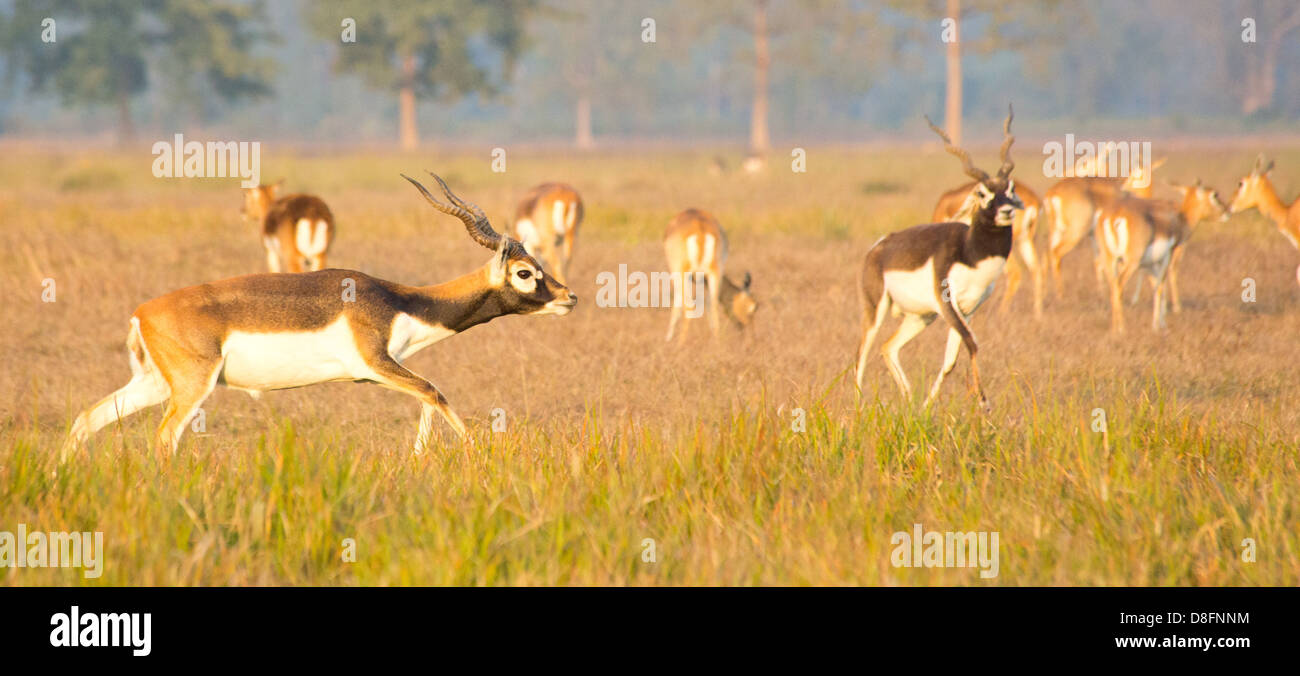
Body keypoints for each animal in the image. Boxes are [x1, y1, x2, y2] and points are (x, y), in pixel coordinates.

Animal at [63, 174, 577, 461]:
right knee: (165, 438)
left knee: (86, 419)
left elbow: (428, 399)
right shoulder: (375, 364)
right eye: (525, 272)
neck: (399, 301)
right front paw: (471, 454)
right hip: (192, 386)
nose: (568, 296)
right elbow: (435, 392)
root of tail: (140, 313)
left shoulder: (384, 370)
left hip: (152, 384)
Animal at [663, 209, 756, 342]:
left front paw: (668, 339)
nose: (751, 335)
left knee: (689, 306)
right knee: (712, 306)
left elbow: (677, 304)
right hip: (714, 272)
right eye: (752, 308)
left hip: (682, 272)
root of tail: (700, 228)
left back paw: (680, 345)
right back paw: (717, 343)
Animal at [855, 105, 1021, 409]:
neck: (970, 253)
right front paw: (984, 403)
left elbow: (951, 360)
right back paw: (860, 406)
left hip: (921, 317)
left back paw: (908, 399)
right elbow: (972, 343)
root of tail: (879, 245)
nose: (1007, 211)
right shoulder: (947, 304)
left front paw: (926, 408)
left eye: (1010, 189)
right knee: (861, 354)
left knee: (888, 347)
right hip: (876, 309)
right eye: (983, 193)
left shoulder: (968, 310)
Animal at [933, 180, 1043, 318]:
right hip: (1026, 241)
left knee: (1015, 272)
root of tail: (1034, 201)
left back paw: (1001, 314)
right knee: (1036, 270)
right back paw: (1038, 315)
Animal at [1044, 158, 1165, 298]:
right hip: (1075, 234)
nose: (1125, 188)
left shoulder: (1095, 238)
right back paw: (1060, 295)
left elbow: (1098, 263)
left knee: (1046, 255)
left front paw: (1101, 293)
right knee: (1056, 253)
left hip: (1056, 232)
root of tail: (1053, 192)